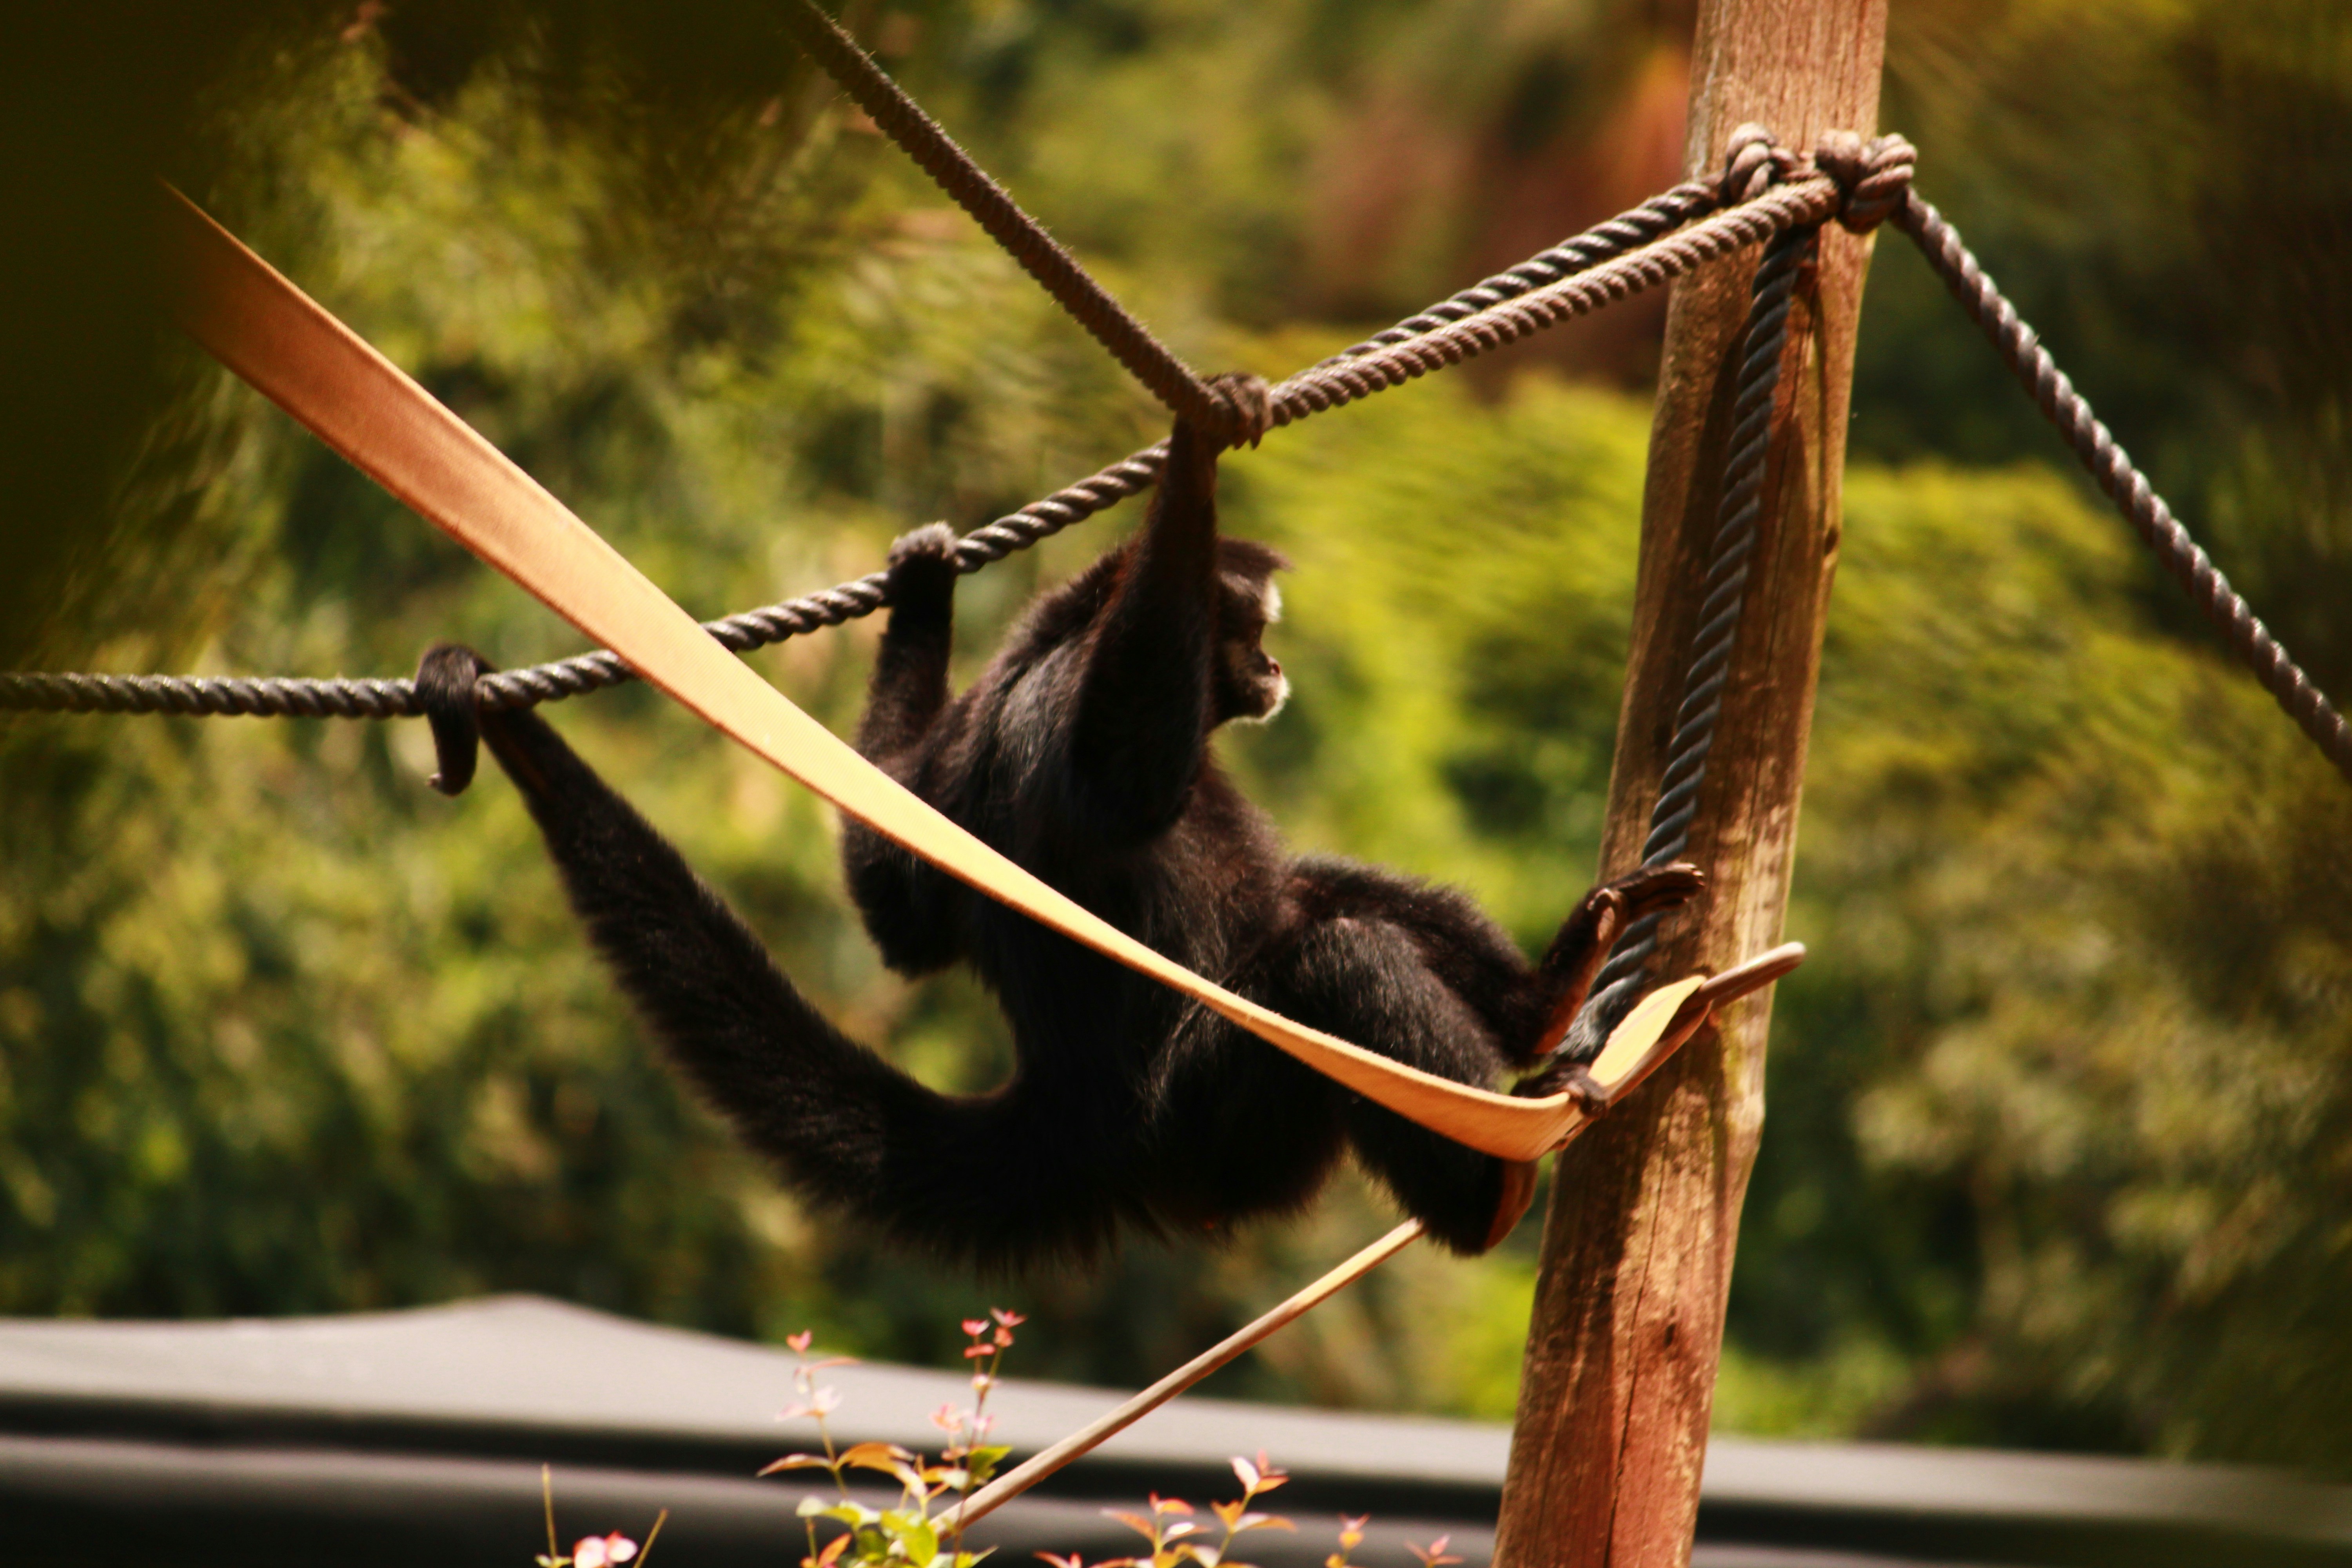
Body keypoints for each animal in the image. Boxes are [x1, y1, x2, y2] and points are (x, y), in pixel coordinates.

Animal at [418, 373, 1703, 1268]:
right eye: (1253, 633)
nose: (1273, 665)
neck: (1057, 647)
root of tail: (1077, 1113)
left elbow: (904, 915)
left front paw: (925, 590)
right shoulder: (1071, 707)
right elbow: (1129, 775)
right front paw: (1194, 460)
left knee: (1311, 895)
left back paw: (1545, 997)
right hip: (1223, 1115)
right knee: (1329, 952)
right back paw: (1489, 1188)